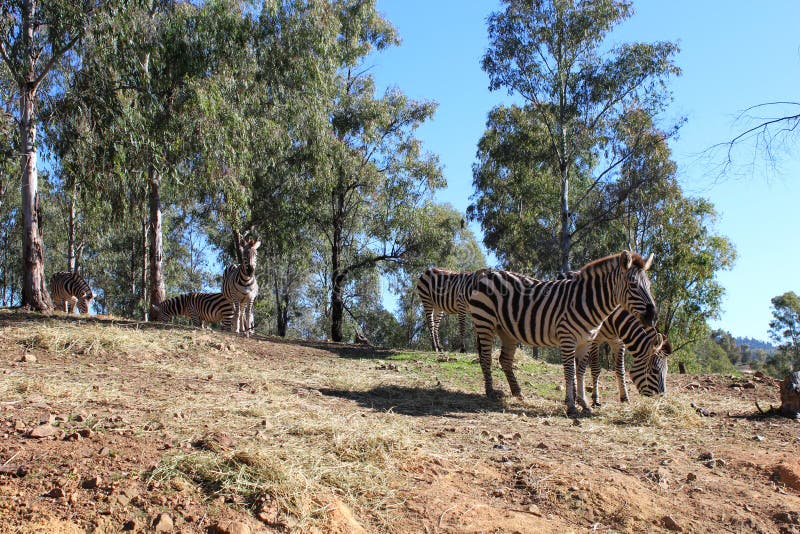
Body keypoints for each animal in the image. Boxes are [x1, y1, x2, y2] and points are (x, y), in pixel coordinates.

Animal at [468, 251, 657, 417]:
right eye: (633, 285)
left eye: (649, 286)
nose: (653, 316)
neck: (587, 302)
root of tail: (488, 273)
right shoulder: (568, 338)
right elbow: (569, 371)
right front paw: (572, 406)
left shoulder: (587, 341)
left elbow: (580, 372)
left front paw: (585, 404)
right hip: (485, 322)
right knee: (486, 357)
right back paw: (490, 391)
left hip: (507, 331)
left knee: (505, 360)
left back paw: (517, 392)